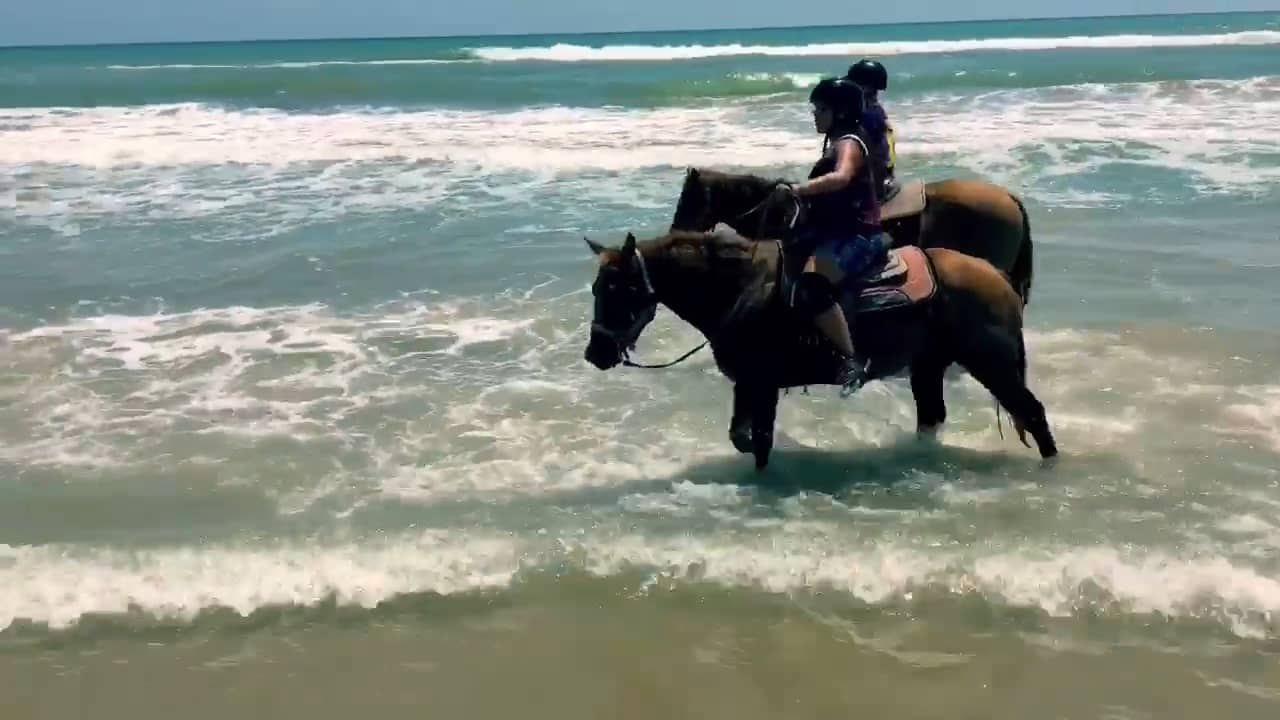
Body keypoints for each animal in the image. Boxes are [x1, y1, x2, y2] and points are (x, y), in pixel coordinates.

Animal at [581, 225, 1057, 470]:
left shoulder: (762, 385)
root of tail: (997, 278)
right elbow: (741, 436)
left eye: (621, 288)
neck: (742, 288)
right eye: (597, 288)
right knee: (932, 417)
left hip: (991, 363)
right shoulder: (748, 385)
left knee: (1032, 412)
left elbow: (760, 441)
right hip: (928, 366)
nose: (595, 353)